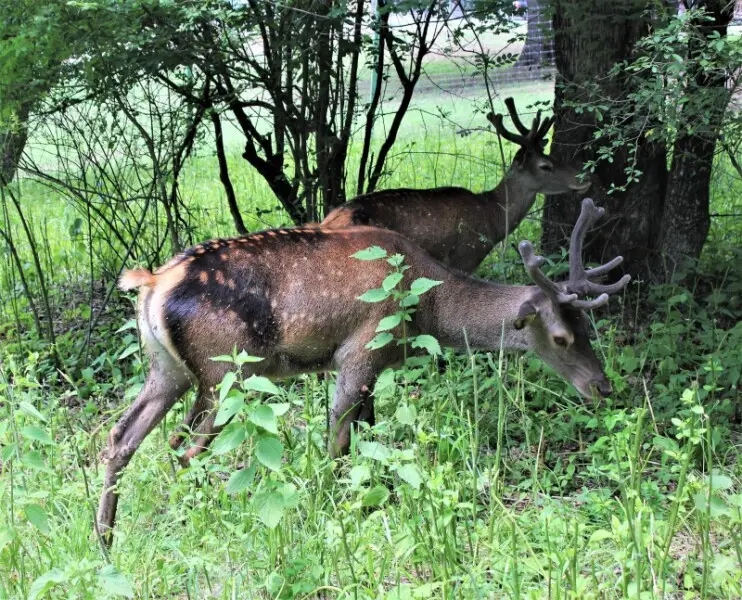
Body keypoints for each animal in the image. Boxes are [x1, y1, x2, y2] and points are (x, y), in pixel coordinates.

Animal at [97, 198, 629, 545]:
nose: (602, 386)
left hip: (168, 370)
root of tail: (152, 283)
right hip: (225, 371)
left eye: (588, 327)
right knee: (184, 446)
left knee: (123, 436)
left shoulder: (375, 363)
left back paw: (105, 537)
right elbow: (338, 440)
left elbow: (368, 433)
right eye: (561, 338)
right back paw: (196, 523)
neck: (428, 305)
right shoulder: (361, 349)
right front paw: (333, 515)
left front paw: (377, 496)